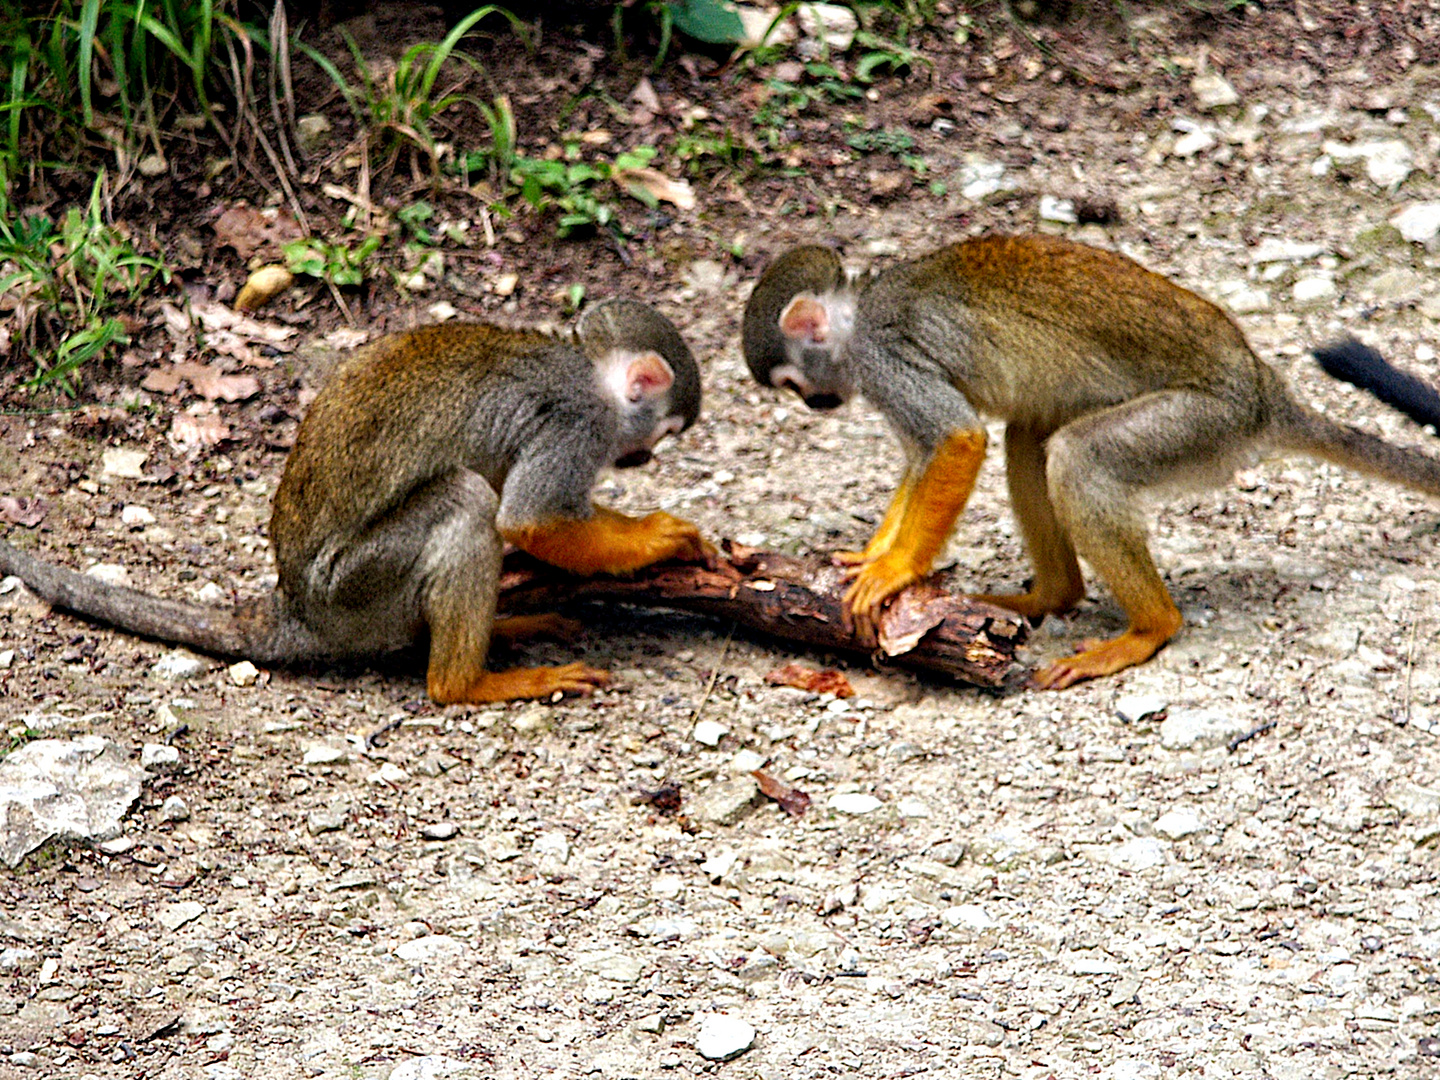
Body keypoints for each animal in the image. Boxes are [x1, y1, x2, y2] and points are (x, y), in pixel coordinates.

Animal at [0, 296, 711, 705]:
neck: (593, 375)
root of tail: (296, 608)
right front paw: (657, 539)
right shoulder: (577, 424)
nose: (645, 458)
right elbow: (530, 520)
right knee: (466, 499)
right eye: (666, 432)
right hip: (355, 588)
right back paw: (467, 684)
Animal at [748, 239, 1440, 694]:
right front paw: (869, 556)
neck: (856, 318)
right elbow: (929, 453)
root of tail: (1263, 393)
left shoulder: (884, 357)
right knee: (1029, 439)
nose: (814, 404)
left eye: (792, 383)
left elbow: (955, 440)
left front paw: (894, 571)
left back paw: (1149, 628)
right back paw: (1052, 595)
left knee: (1080, 459)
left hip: (1200, 422)